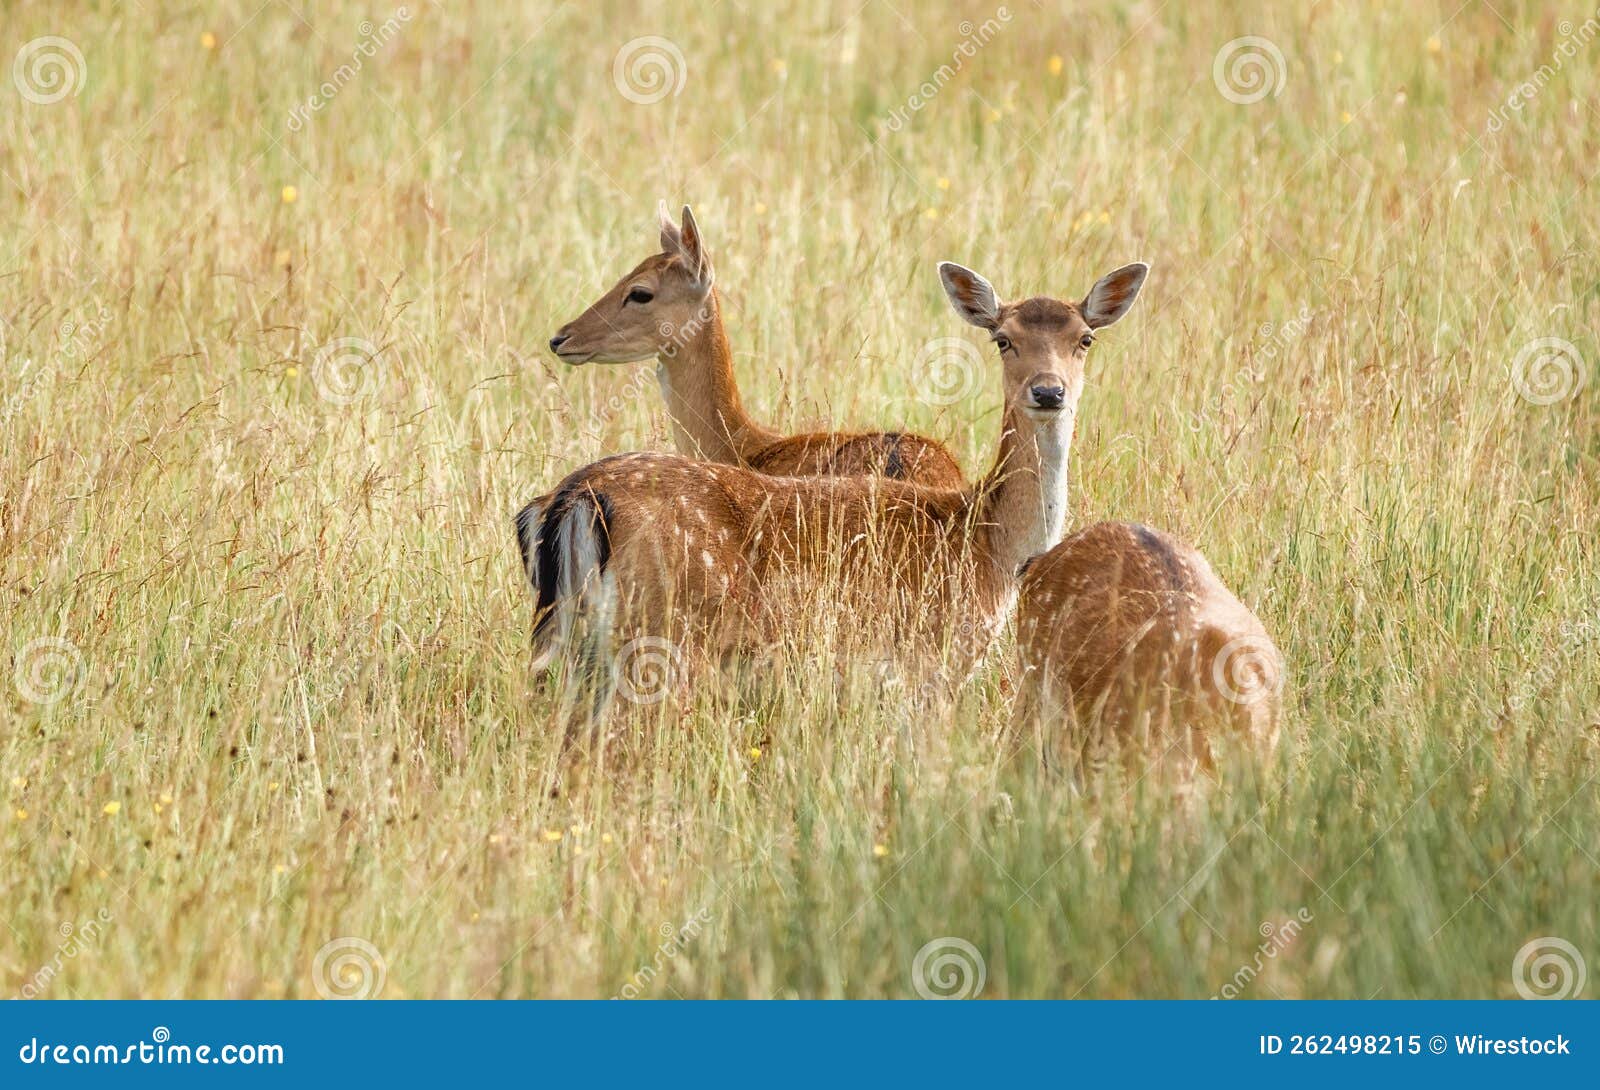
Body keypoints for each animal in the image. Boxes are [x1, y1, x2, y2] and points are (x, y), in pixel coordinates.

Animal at [517, 259, 1149, 725]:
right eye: (1002, 339)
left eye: (1085, 338)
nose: (1048, 391)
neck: (988, 541)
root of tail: (575, 497)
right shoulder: (929, 665)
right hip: (657, 639)